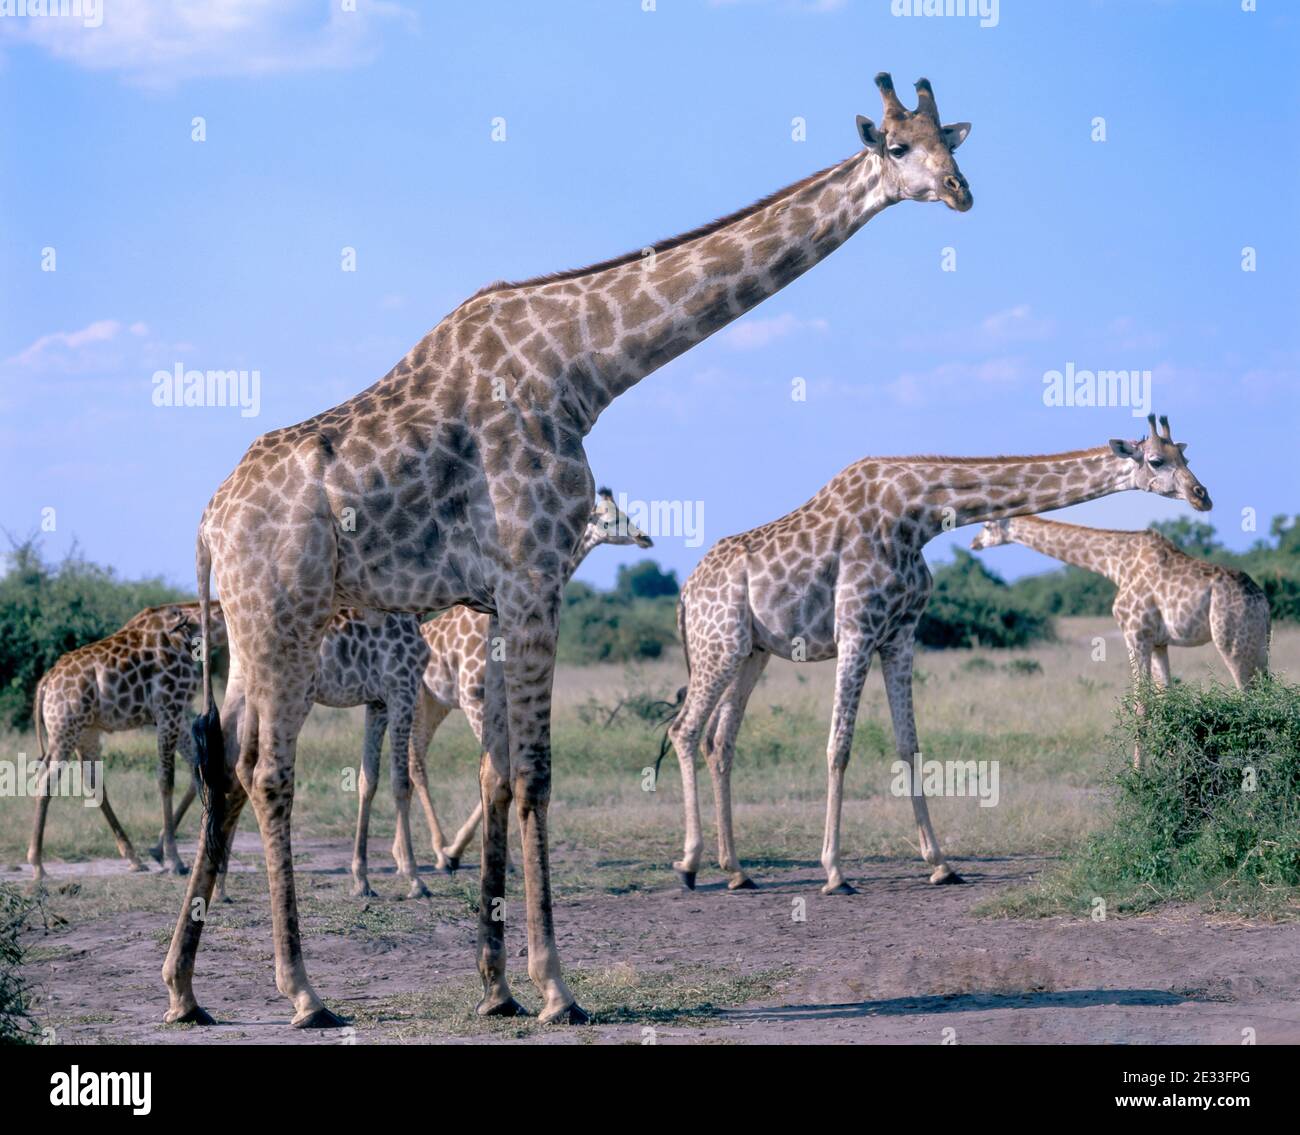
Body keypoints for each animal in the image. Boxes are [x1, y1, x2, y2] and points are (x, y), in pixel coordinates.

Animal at [27, 602, 227, 882]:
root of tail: (44, 685)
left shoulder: (177, 712)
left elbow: (196, 773)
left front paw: (157, 850)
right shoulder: (169, 708)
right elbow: (166, 780)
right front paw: (174, 860)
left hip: (86, 732)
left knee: (93, 784)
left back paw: (134, 858)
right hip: (64, 731)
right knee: (45, 781)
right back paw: (37, 864)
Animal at [409, 488, 653, 872]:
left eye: (626, 513)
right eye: (609, 518)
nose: (645, 537)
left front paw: (499, 859)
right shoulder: (473, 698)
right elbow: (495, 770)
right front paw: (468, 853)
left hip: (436, 703)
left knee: (412, 762)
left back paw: (424, 853)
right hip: (420, 699)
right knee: (413, 763)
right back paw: (432, 853)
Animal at [661, 415, 1210, 894]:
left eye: (1186, 454)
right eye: (1157, 460)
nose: (1202, 495)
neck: (917, 515)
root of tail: (685, 592)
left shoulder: (900, 633)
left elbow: (910, 745)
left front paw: (941, 864)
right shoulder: (855, 629)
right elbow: (839, 746)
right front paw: (834, 872)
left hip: (752, 652)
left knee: (719, 740)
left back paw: (736, 870)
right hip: (718, 645)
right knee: (684, 730)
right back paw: (689, 865)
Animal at [970, 511, 1269, 697]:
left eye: (986, 526)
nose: (973, 543)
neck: (1115, 565)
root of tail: (1261, 600)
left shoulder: (1135, 635)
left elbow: (1141, 703)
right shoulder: (1159, 642)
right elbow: (1167, 697)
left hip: (1231, 642)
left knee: (1247, 694)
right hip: (1259, 644)